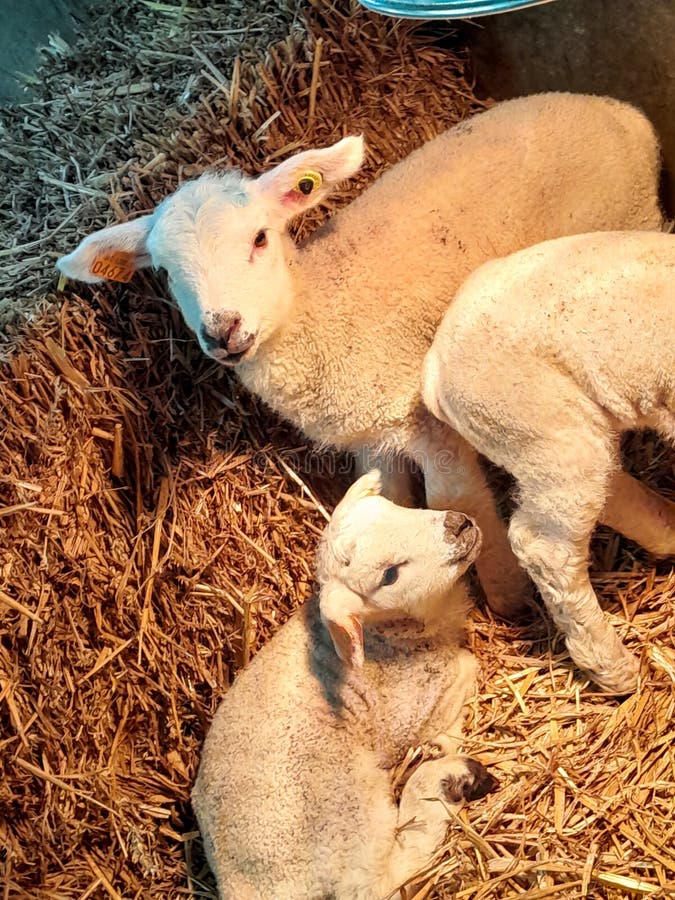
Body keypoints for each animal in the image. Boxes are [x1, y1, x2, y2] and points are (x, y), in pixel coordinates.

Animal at [57, 92, 665, 619]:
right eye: (163, 270)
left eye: (259, 238)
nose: (221, 330)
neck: (325, 314)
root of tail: (622, 112)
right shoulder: (374, 439)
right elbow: (385, 501)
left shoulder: (428, 426)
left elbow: (460, 501)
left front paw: (507, 599)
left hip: (633, 219)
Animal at [191, 469, 498, 900]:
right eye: (390, 576)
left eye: (394, 507)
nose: (458, 525)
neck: (385, 636)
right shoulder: (414, 702)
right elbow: (465, 674)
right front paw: (446, 743)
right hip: (350, 817)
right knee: (379, 882)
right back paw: (451, 780)